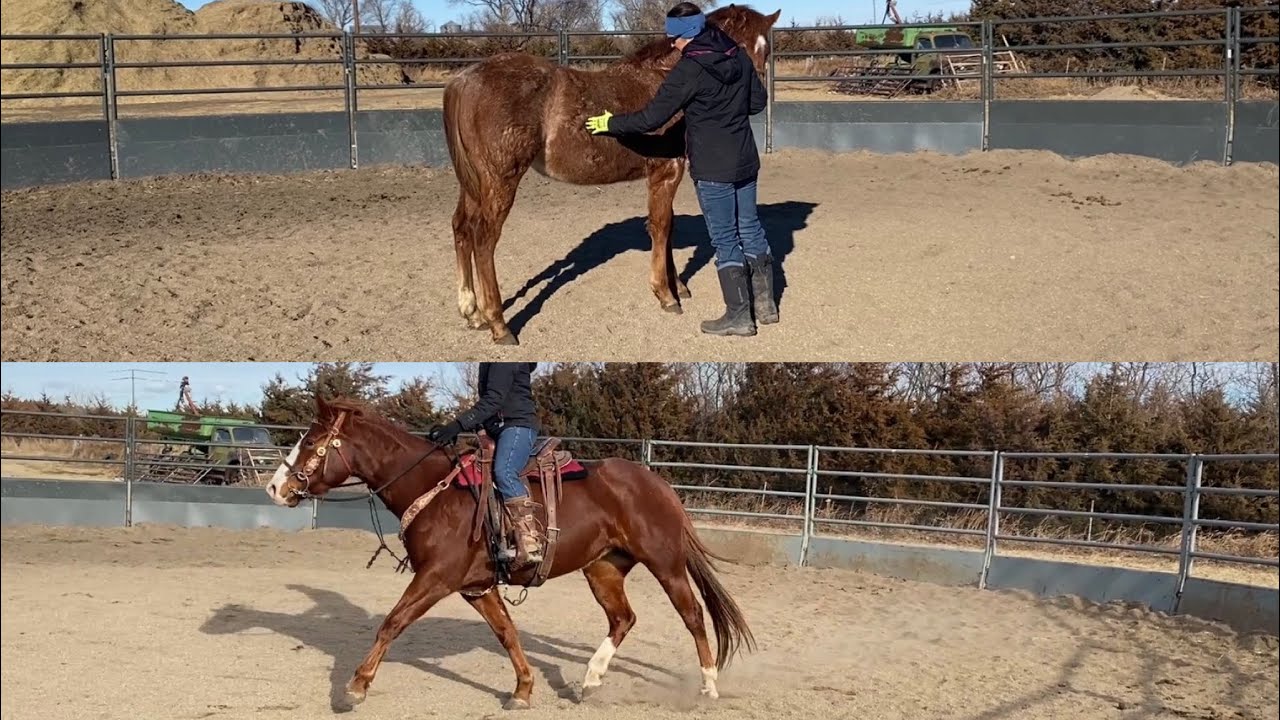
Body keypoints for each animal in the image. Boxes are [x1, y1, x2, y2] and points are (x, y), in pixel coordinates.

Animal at [264, 395, 756, 710]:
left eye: (311, 443)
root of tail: (658, 483)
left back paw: (708, 688)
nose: (274, 488)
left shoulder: (436, 578)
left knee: (692, 615)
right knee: (623, 619)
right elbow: (507, 633)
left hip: (665, 563)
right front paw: (522, 690)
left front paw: (355, 687)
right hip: (602, 568)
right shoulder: (477, 587)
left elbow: (392, 623)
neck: (434, 490)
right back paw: (590, 680)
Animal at [443, 4, 782, 345]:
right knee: (484, 240)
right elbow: (660, 227)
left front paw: (678, 287)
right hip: (499, 182)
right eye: (735, 47)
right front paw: (666, 295)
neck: (662, 79)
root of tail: (464, 80)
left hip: (474, 185)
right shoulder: (666, 170)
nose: (754, 100)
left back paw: (472, 312)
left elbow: (668, 226)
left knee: (462, 228)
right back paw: (499, 324)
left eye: (765, 51)